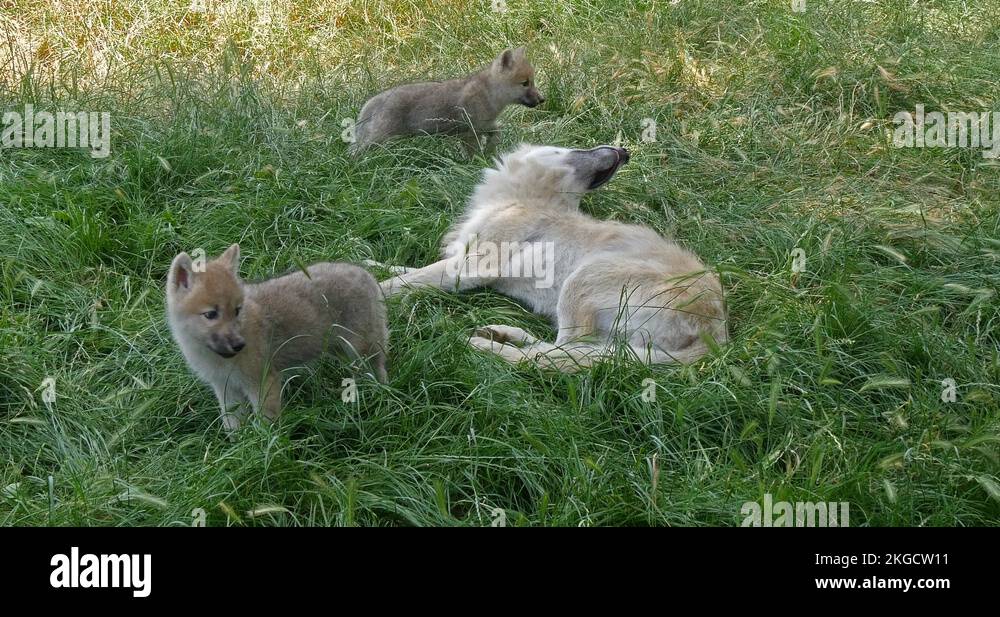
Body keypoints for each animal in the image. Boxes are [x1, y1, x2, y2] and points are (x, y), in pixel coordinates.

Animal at [166, 244, 388, 430]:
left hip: (362, 350)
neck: (215, 357)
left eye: (237, 310)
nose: (239, 344)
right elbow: (233, 426)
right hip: (341, 350)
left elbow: (266, 427)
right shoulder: (225, 389)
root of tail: (366, 274)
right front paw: (240, 447)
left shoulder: (262, 383)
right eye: (211, 314)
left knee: (380, 373)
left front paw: (266, 446)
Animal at [349, 47, 544, 156]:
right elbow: (474, 155)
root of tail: (375, 100)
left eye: (532, 81)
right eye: (525, 83)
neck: (489, 95)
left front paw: (490, 151)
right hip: (379, 140)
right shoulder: (469, 133)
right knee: (353, 151)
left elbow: (498, 133)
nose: (543, 99)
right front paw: (478, 163)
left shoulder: (485, 126)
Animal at [377, 144, 727, 371]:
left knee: (561, 353)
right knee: (568, 350)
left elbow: (402, 281)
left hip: (582, 280)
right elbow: (407, 271)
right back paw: (504, 334)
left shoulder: (475, 267)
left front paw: (374, 292)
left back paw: (492, 345)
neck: (529, 199)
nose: (625, 152)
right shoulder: (461, 262)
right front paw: (370, 264)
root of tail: (716, 334)